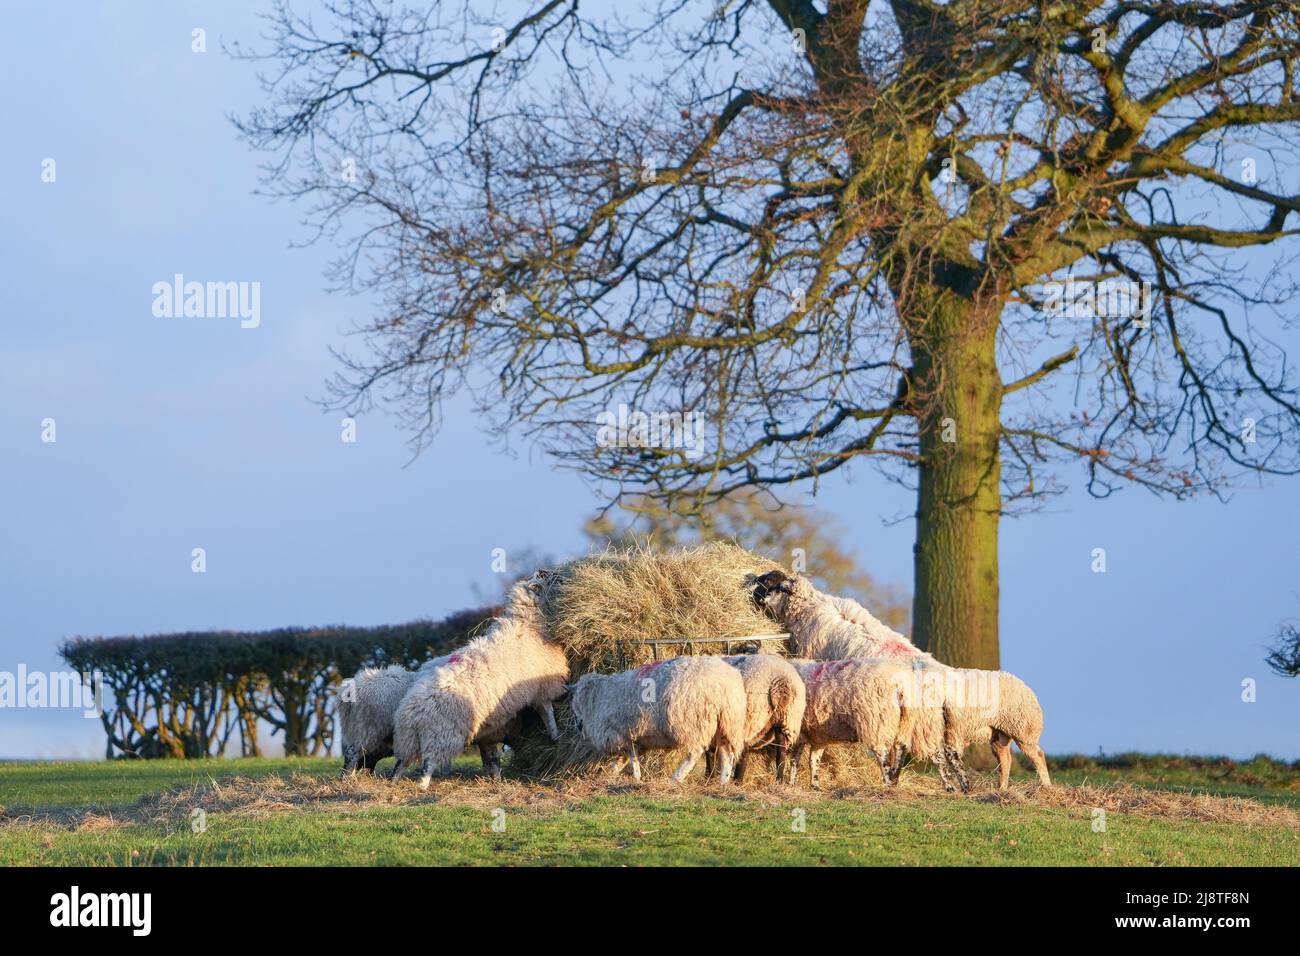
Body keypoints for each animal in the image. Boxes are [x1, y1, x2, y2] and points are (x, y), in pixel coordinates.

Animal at [390, 577, 569, 788]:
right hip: (441, 733)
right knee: (429, 762)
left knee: (401, 761)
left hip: (408, 738)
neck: (526, 623)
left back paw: (394, 781)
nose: (559, 577)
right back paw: (423, 785)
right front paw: (556, 734)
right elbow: (547, 712)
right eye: (546, 579)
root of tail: (413, 711)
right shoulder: (543, 687)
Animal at [568, 655, 747, 784]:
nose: (577, 725)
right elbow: (624, 758)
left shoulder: (622, 734)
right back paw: (723, 783)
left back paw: (675, 779)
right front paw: (610, 773)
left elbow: (631, 759)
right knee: (727, 754)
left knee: (694, 753)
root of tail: (726, 684)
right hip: (726, 725)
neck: (596, 698)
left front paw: (635, 778)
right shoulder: (631, 740)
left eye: (574, 702)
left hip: (694, 722)